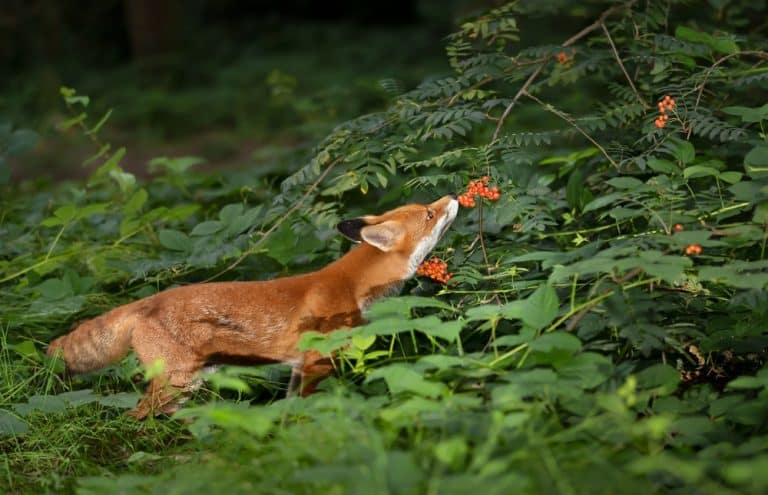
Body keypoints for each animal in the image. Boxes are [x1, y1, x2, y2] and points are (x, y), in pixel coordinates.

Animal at [47, 195, 458, 418]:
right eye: (429, 214)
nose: (454, 195)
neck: (352, 285)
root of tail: (149, 300)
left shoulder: (299, 366)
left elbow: (290, 404)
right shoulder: (318, 361)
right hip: (177, 382)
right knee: (139, 415)